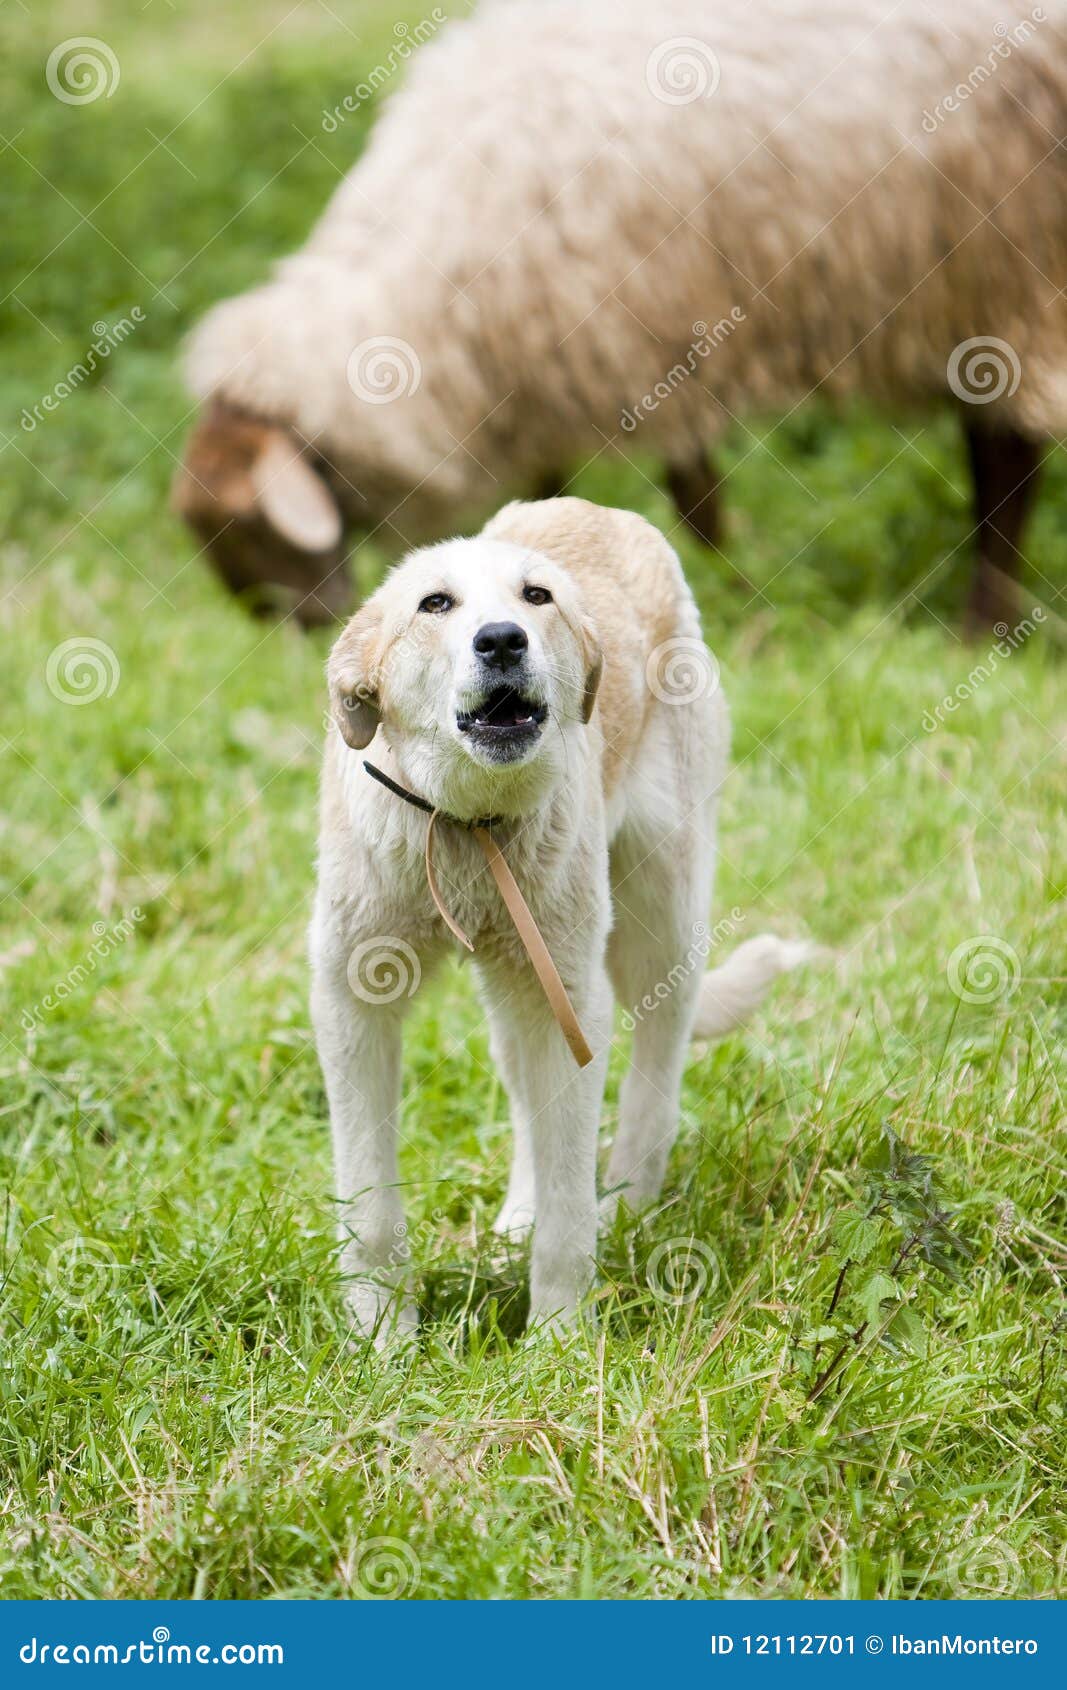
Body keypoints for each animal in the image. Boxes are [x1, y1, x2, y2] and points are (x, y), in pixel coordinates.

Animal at [175, 0, 1066, 626]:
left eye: (252, 530)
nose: (299, 629)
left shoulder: (650, 327)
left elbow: (691, 491)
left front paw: (726, 590)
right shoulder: (552, 352)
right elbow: (548, 483)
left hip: (1013, 265)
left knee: (1007, 454)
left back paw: (979, 624)